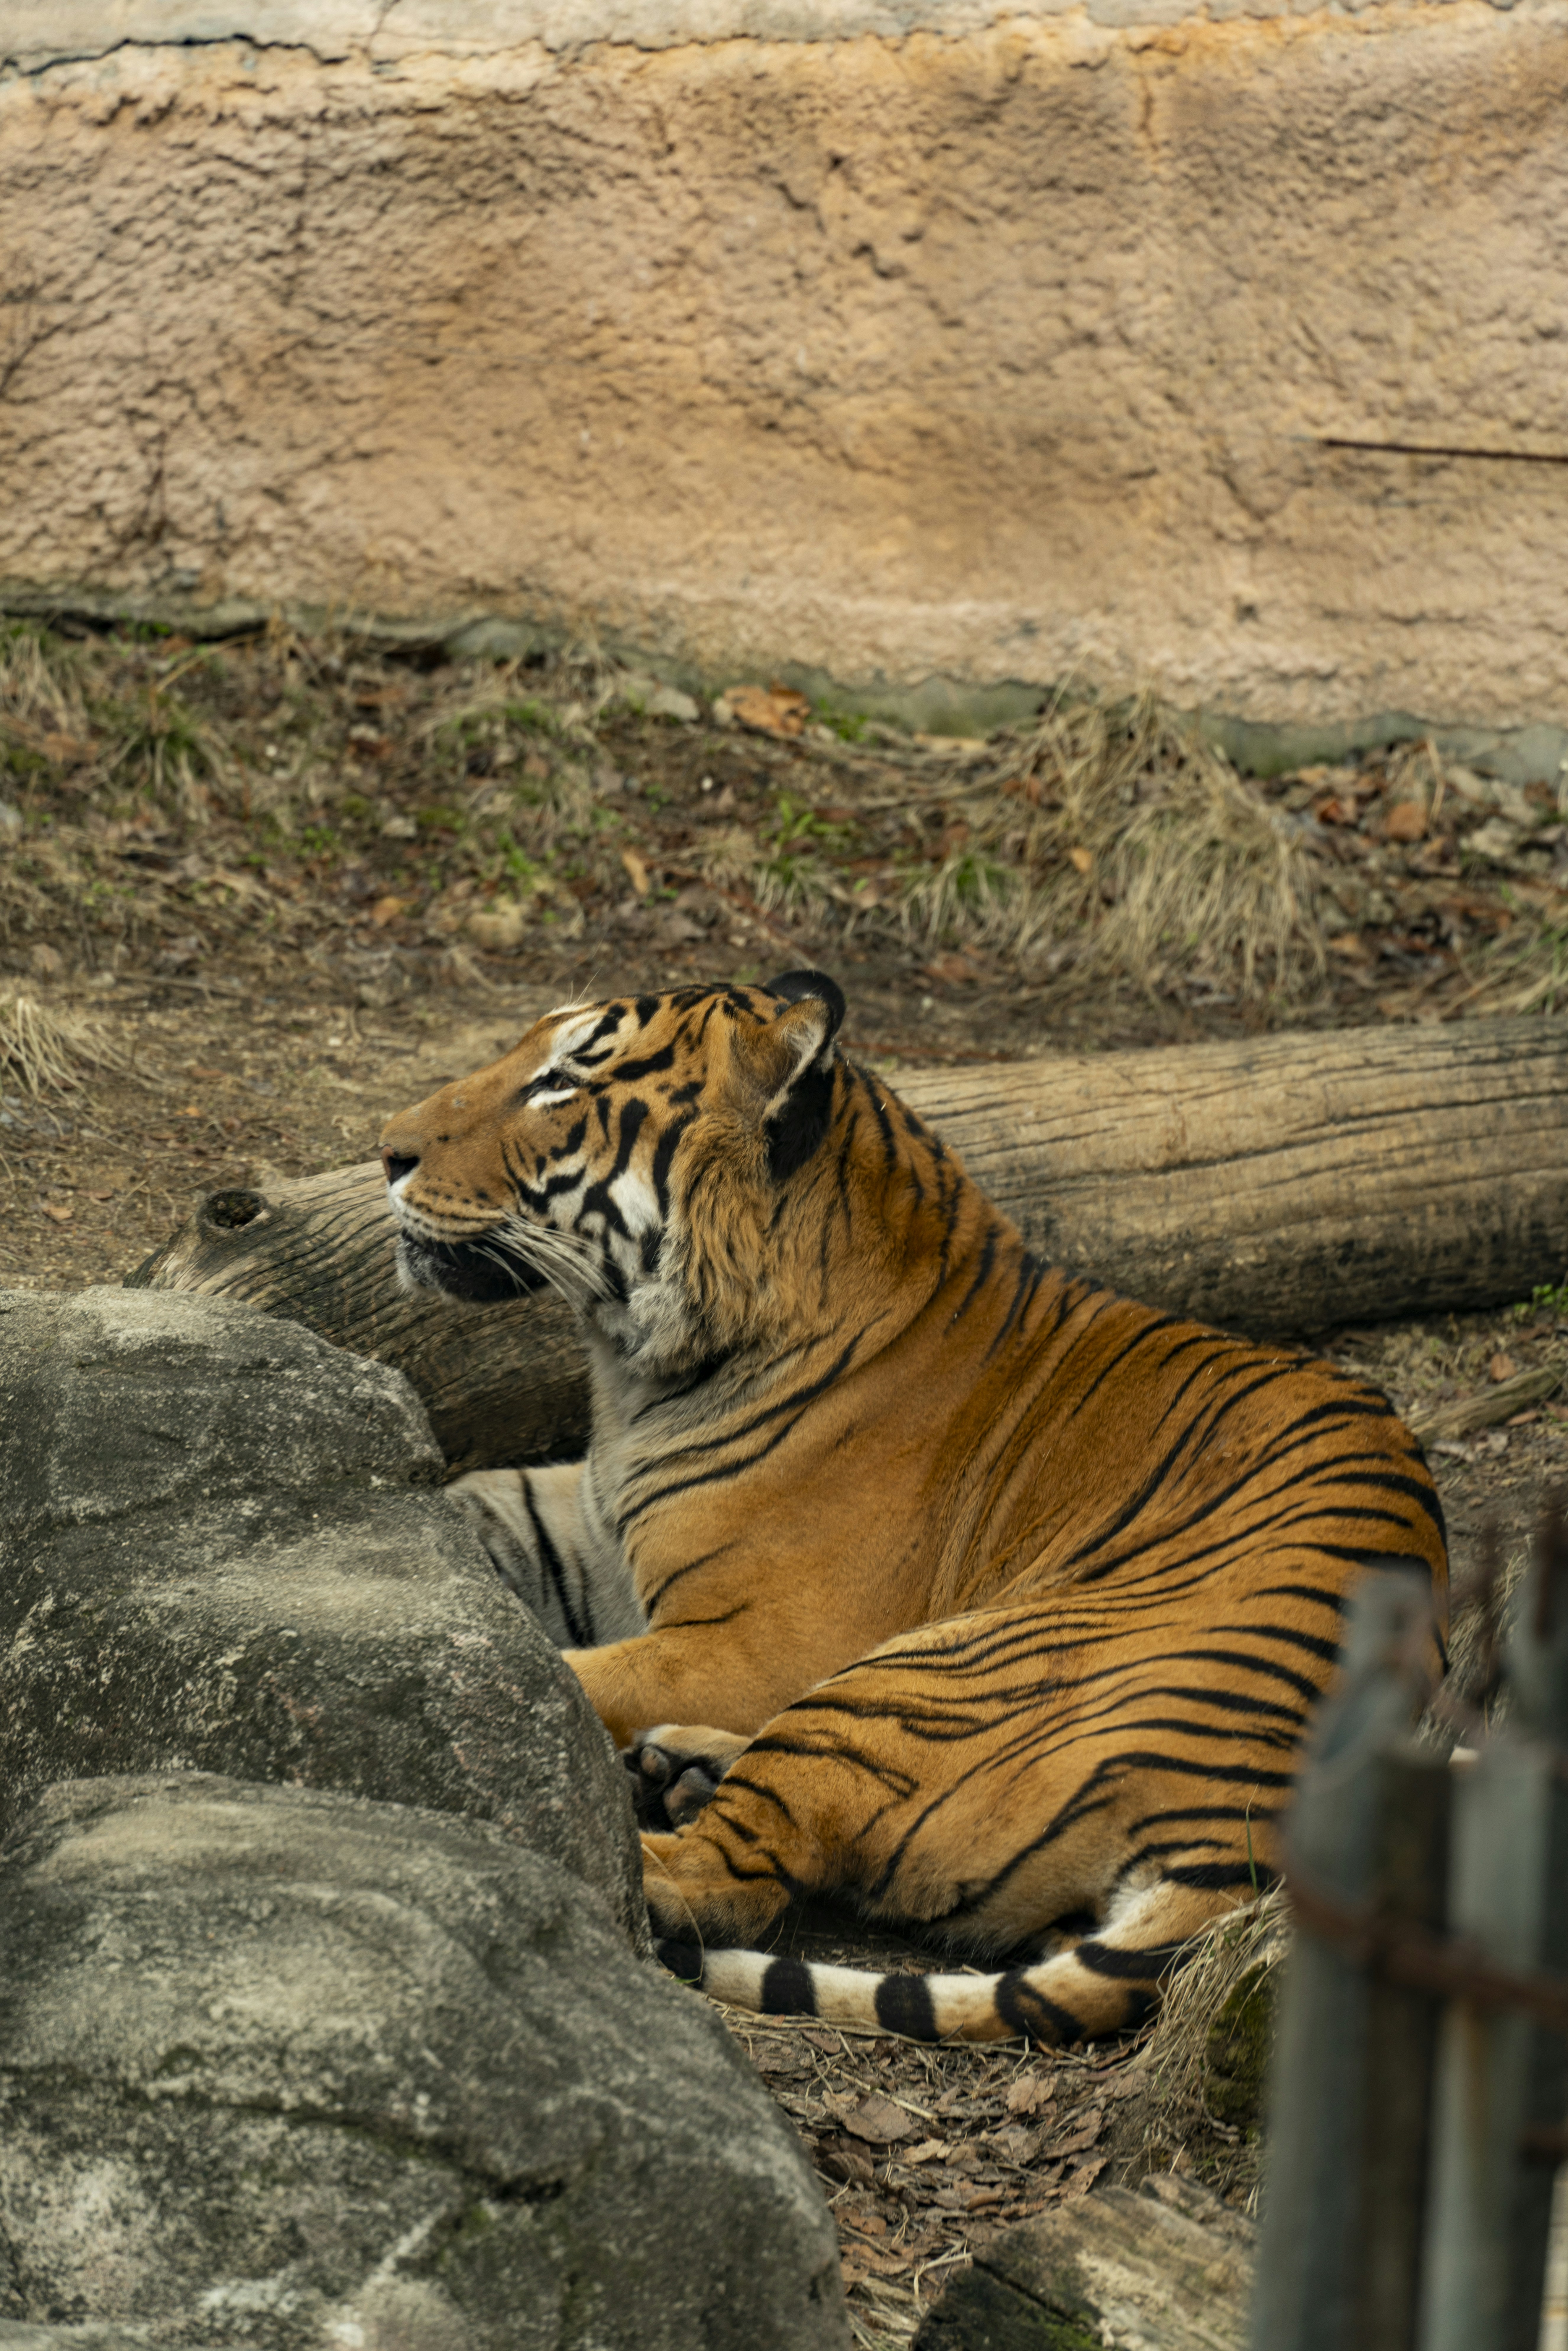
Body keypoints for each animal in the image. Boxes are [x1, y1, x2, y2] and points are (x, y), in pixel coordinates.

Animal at [378, 969, 1448, 2044]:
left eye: (562, 1083)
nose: (385, 1149)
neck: (647, 1372)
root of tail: (1249, 1830)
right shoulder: (592, 1528)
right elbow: (478, 1518)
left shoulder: (752, 1645)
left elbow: (565, 1675)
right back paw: (682, 1767)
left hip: (915, 1676)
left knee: (716, 1885)